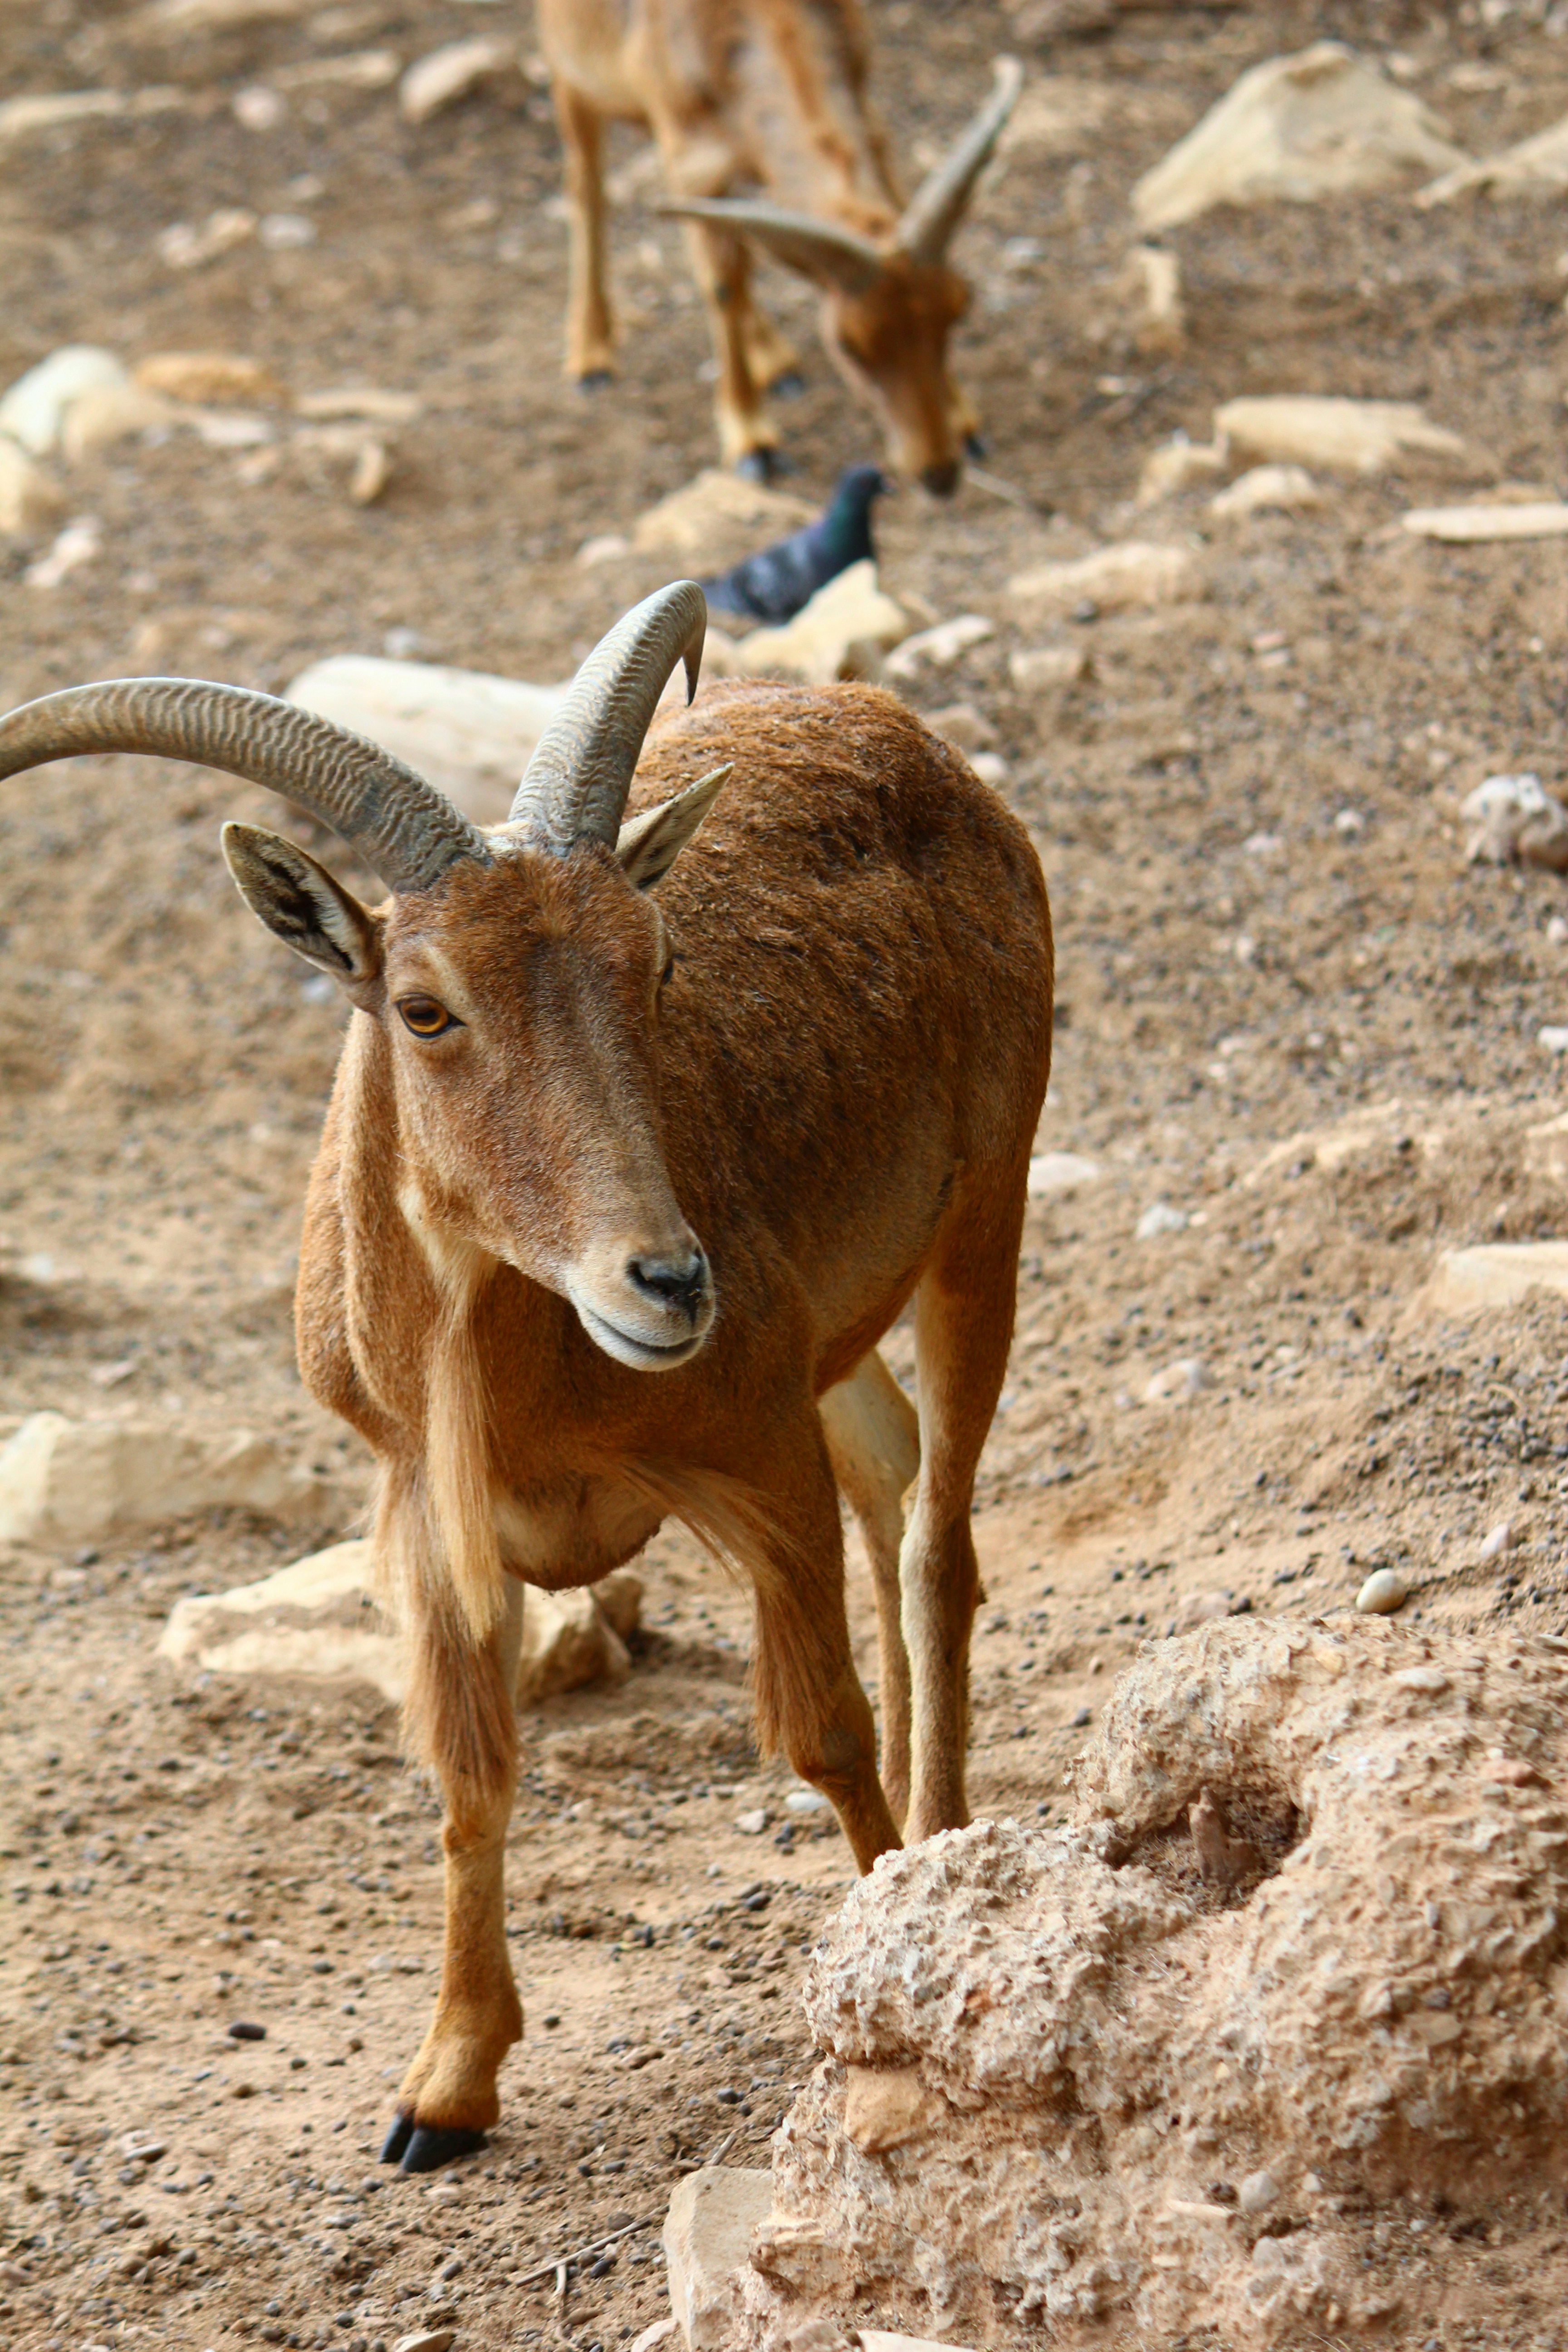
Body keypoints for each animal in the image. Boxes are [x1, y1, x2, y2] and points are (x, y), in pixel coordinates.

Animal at [0, 584, 1053, 2170]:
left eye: (655, 965)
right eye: (424, 1007)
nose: (668, 1284)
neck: (523, 1373)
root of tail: (903, 732)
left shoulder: (756, 1450)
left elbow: (822, 1729)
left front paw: (875, 1967)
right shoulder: (428, 1508)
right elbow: (471, 1771)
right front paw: (443, 2092)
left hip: (985, 1212)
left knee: (939, 1543)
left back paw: (944, 1842)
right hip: (847, 1332)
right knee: (895, 1469)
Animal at [537, 0, 1022, 491]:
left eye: (958, 308)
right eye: (848, 345)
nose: (939, 473)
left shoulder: (866, 110)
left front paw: (965, 423)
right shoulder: (689, 156)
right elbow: (722, 285)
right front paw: (752, 442)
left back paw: (776, 361)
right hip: (570, 71)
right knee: (586, 185)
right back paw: (591, 354)